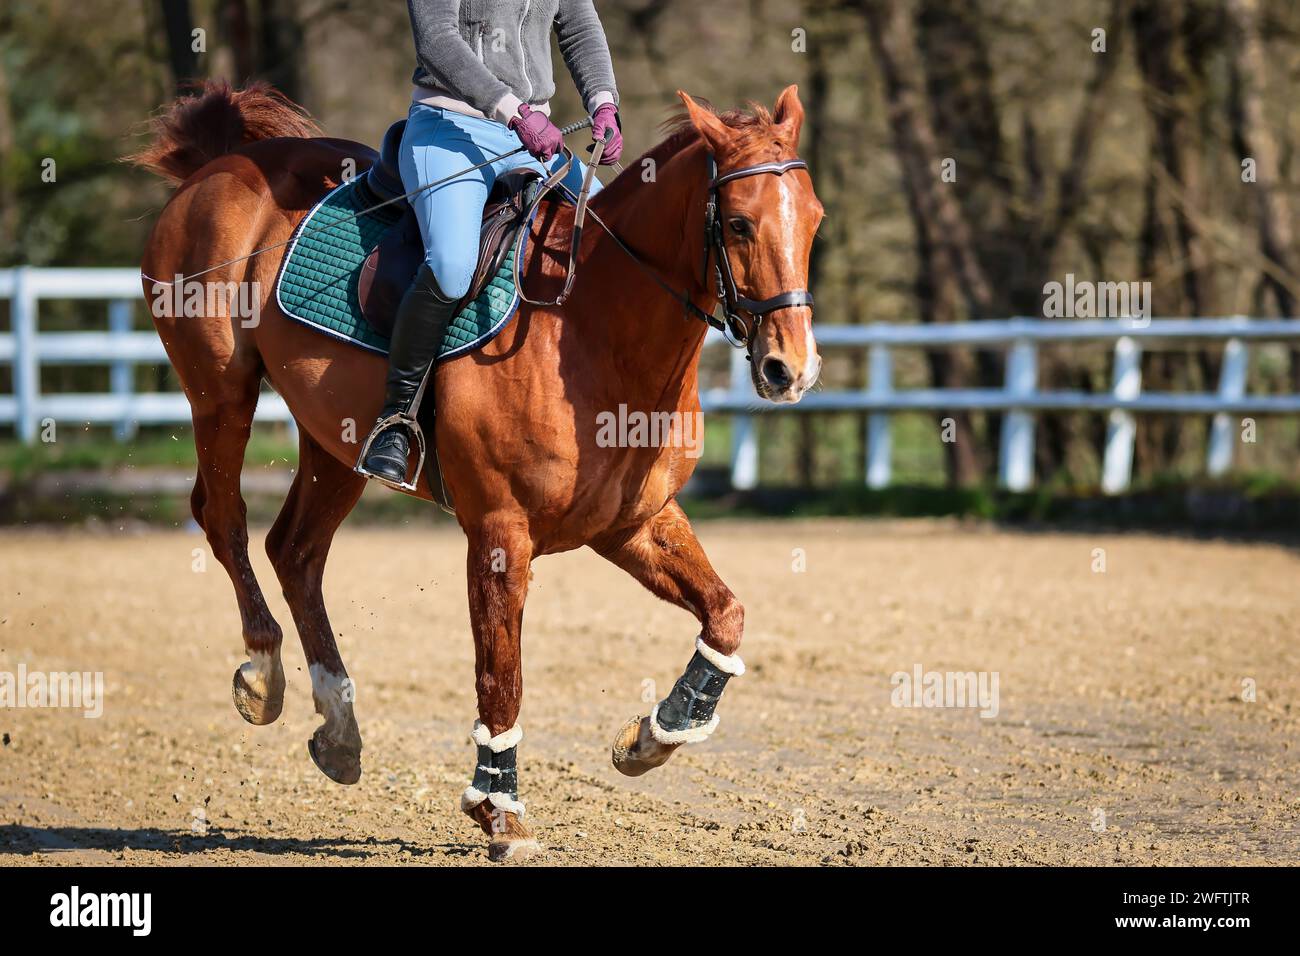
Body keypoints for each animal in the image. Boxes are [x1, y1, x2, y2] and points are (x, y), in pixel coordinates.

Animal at [131, 80, 823, 861]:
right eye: (737, 224)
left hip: (335, 443)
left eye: (815, 221)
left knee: (296, 551)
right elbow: (501, 675)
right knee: (225, 520)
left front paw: (657, 733)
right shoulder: (499, 535)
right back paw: (262, 671)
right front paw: (500, 808)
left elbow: (726, 615)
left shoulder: (633, 523)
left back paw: (339, 728)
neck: (592, 329)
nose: (790, 369)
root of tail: (222, 164)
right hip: (221, 394)